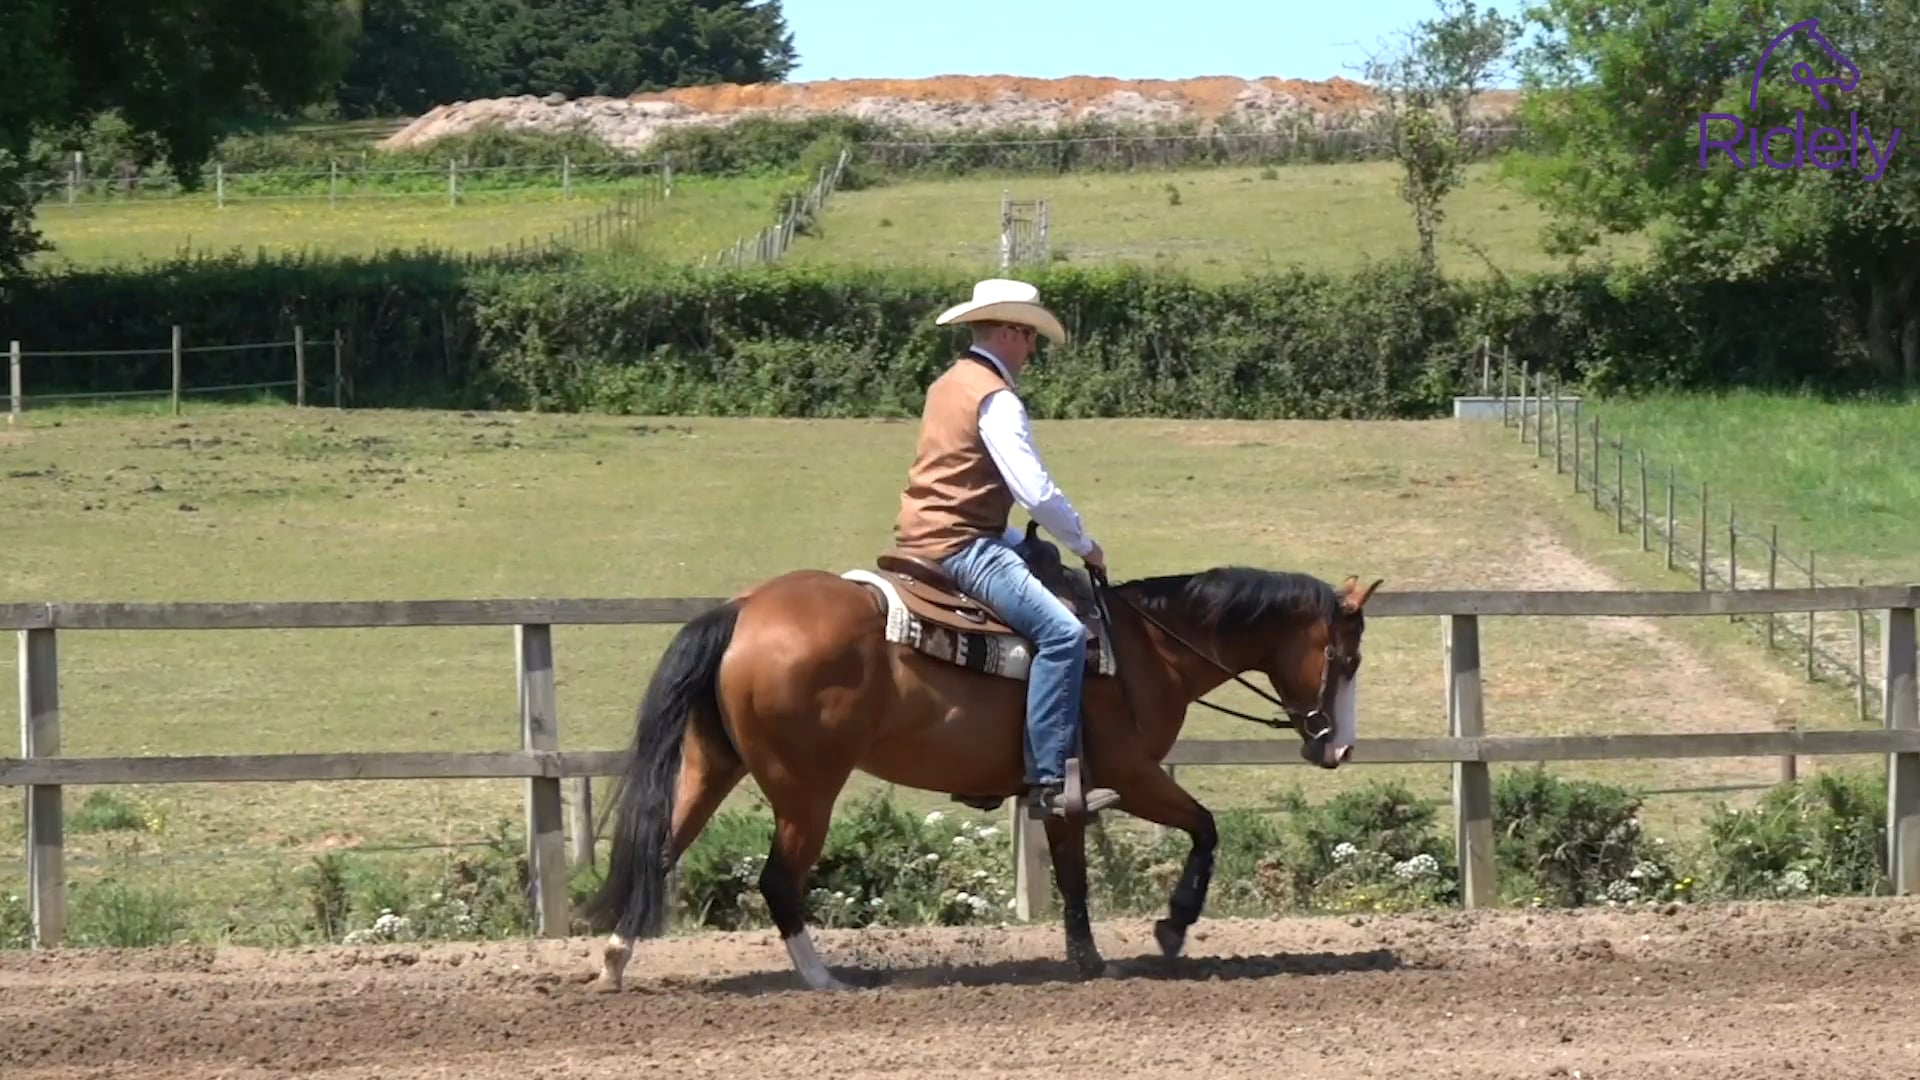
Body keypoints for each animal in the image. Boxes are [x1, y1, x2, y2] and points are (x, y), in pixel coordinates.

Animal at [581, 523, 1383, 991]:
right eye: (1346, 658)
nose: (1338, 746)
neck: (1144, 646)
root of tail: (744, 609)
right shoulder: (1131, 774)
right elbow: (1205, 827)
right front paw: (1172, 926)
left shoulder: (1063, 789)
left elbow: (1072, 873)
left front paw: (1089, 960)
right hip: (806, 789)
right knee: (779, 880)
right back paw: (824, 979)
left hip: (713, 766)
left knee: (660, 849)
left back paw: (616, 962)